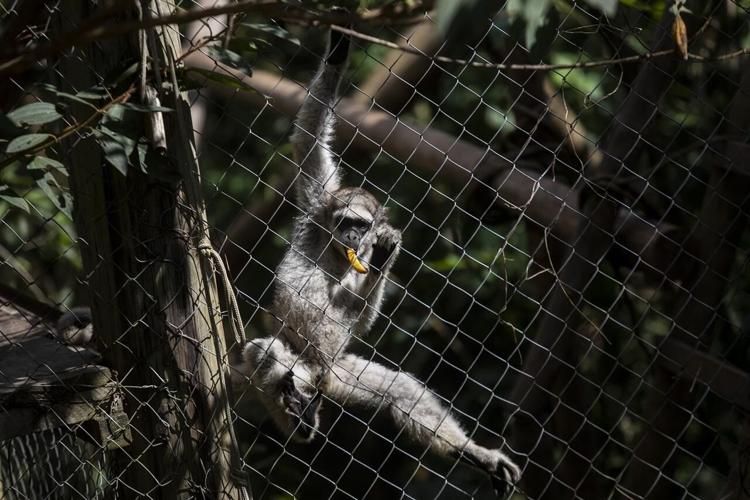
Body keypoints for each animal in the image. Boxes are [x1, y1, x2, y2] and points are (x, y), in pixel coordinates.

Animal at [239, 25, 521, 495]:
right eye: (345, 222)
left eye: (362, 224)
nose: (353, 236)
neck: (337, 251)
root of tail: (318, 374)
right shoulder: (317, 208)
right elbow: (309, 139)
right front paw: (338, 50)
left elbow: (365, 315)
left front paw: (386, 255)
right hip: (306, 361)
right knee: (263, 352)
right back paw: (295, 407)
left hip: (339, 374)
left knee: (400, 392)